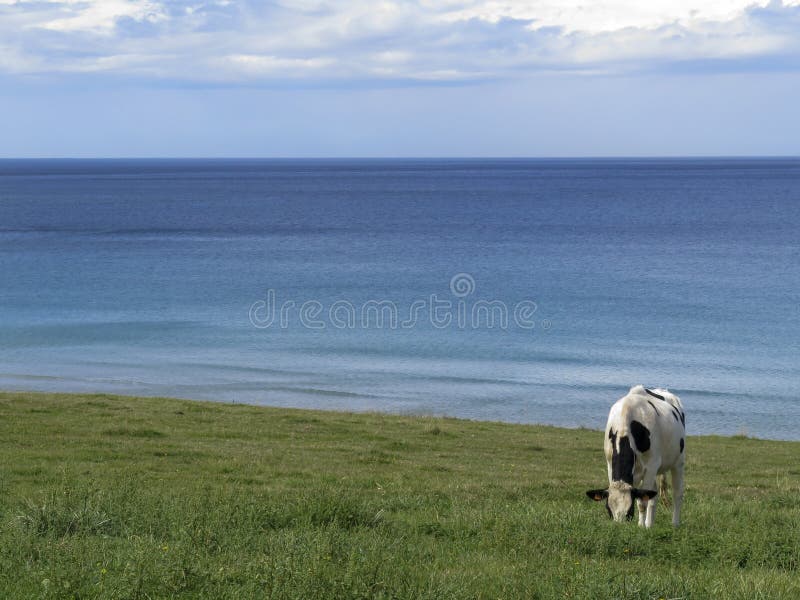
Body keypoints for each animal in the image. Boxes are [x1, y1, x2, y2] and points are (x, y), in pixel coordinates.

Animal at [585, 385, 685, 528]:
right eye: (608, 509)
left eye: (629, 511)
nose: (619, 526)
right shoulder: (609, 464)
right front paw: (643, 525)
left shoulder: (651, 465)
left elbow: (642, 503)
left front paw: (641, 526)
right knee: (653, 495)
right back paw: (649, 524)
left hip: (678, 461)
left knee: (677, 492)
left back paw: (675, 524)